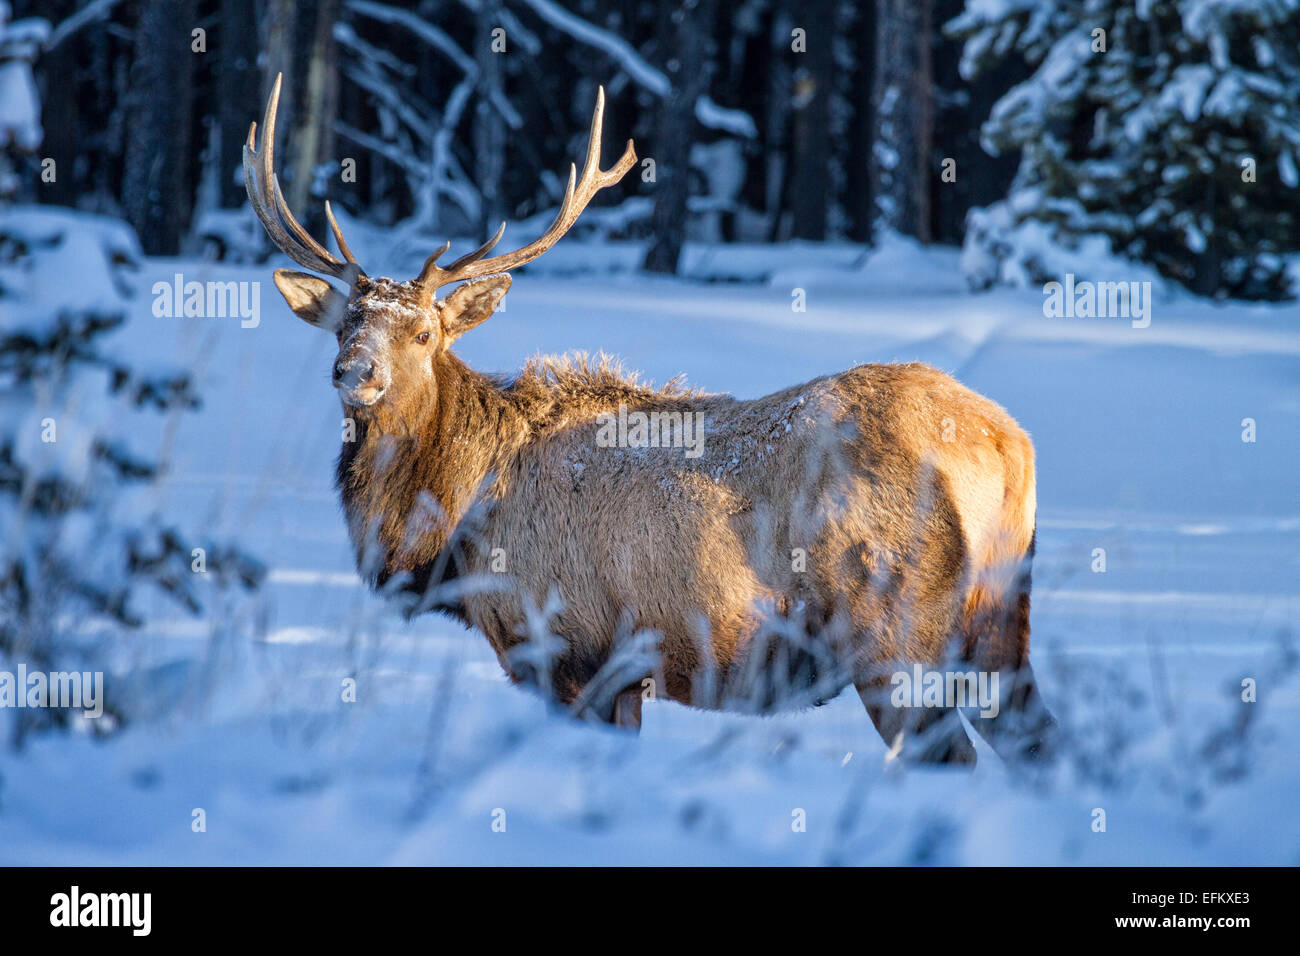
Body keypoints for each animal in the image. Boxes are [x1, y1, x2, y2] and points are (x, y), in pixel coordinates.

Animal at [244, 75, 1056, 765]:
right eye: (346, 323)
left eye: (422, 333)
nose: (356, 374)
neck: (452, 530)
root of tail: (1011, 444)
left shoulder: (567, 647)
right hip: (998, 620)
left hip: (893, 631)